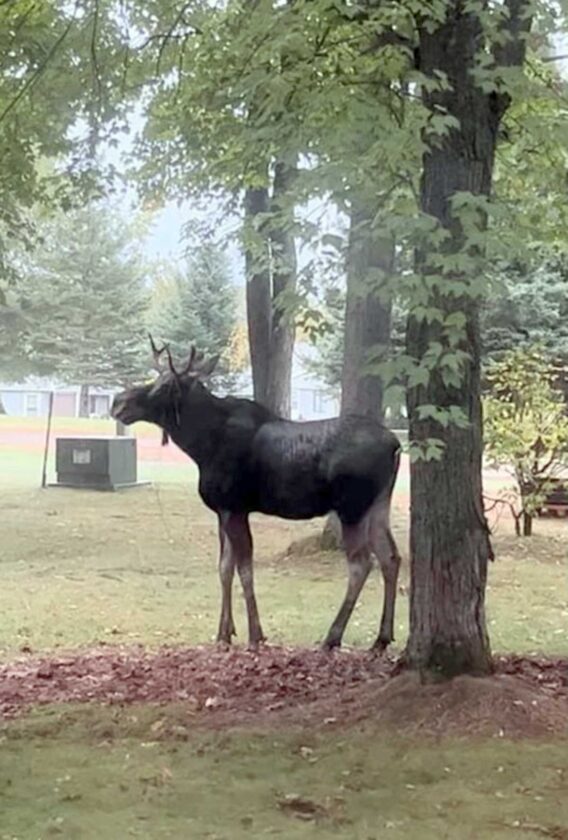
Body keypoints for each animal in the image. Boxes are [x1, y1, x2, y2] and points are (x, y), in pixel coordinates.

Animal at [111, 336, 402, 652]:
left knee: (362, 563)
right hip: (378, 505)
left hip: (352, 507)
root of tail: (396, 444)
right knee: (391, 557)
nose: (118, 402)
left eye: (166, 385)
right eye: (157, 378)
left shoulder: (235, 507)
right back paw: (382, 638)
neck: (201, 446)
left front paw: (255, 635)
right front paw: (224, 633)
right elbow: (224, 568)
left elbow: (244, 569)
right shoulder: (222, 510)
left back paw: (333, 636)